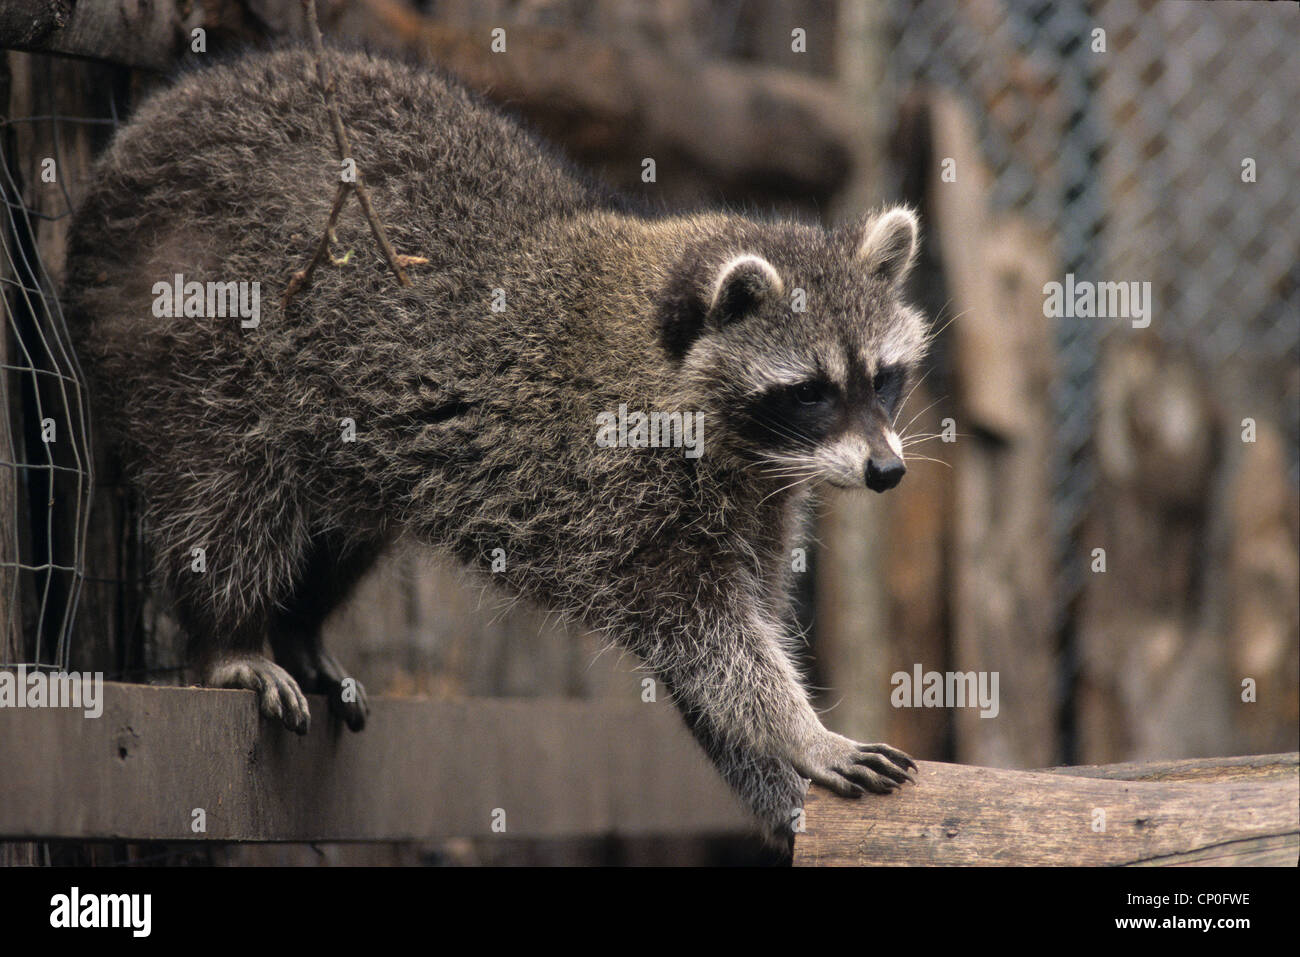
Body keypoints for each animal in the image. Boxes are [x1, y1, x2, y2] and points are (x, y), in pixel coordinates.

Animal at [64, 48, 926, 847]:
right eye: (811, 391)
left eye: (883, 379)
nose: (888, 472)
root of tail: (147, 127)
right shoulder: (616, 491)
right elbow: (709, 640)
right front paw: (797, 729)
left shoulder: (758, 496)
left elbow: (732, 637)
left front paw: (778, 788)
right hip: (191, 333)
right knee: (227, 494)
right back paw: (231, 635)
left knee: (346, 519)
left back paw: (301, 625)